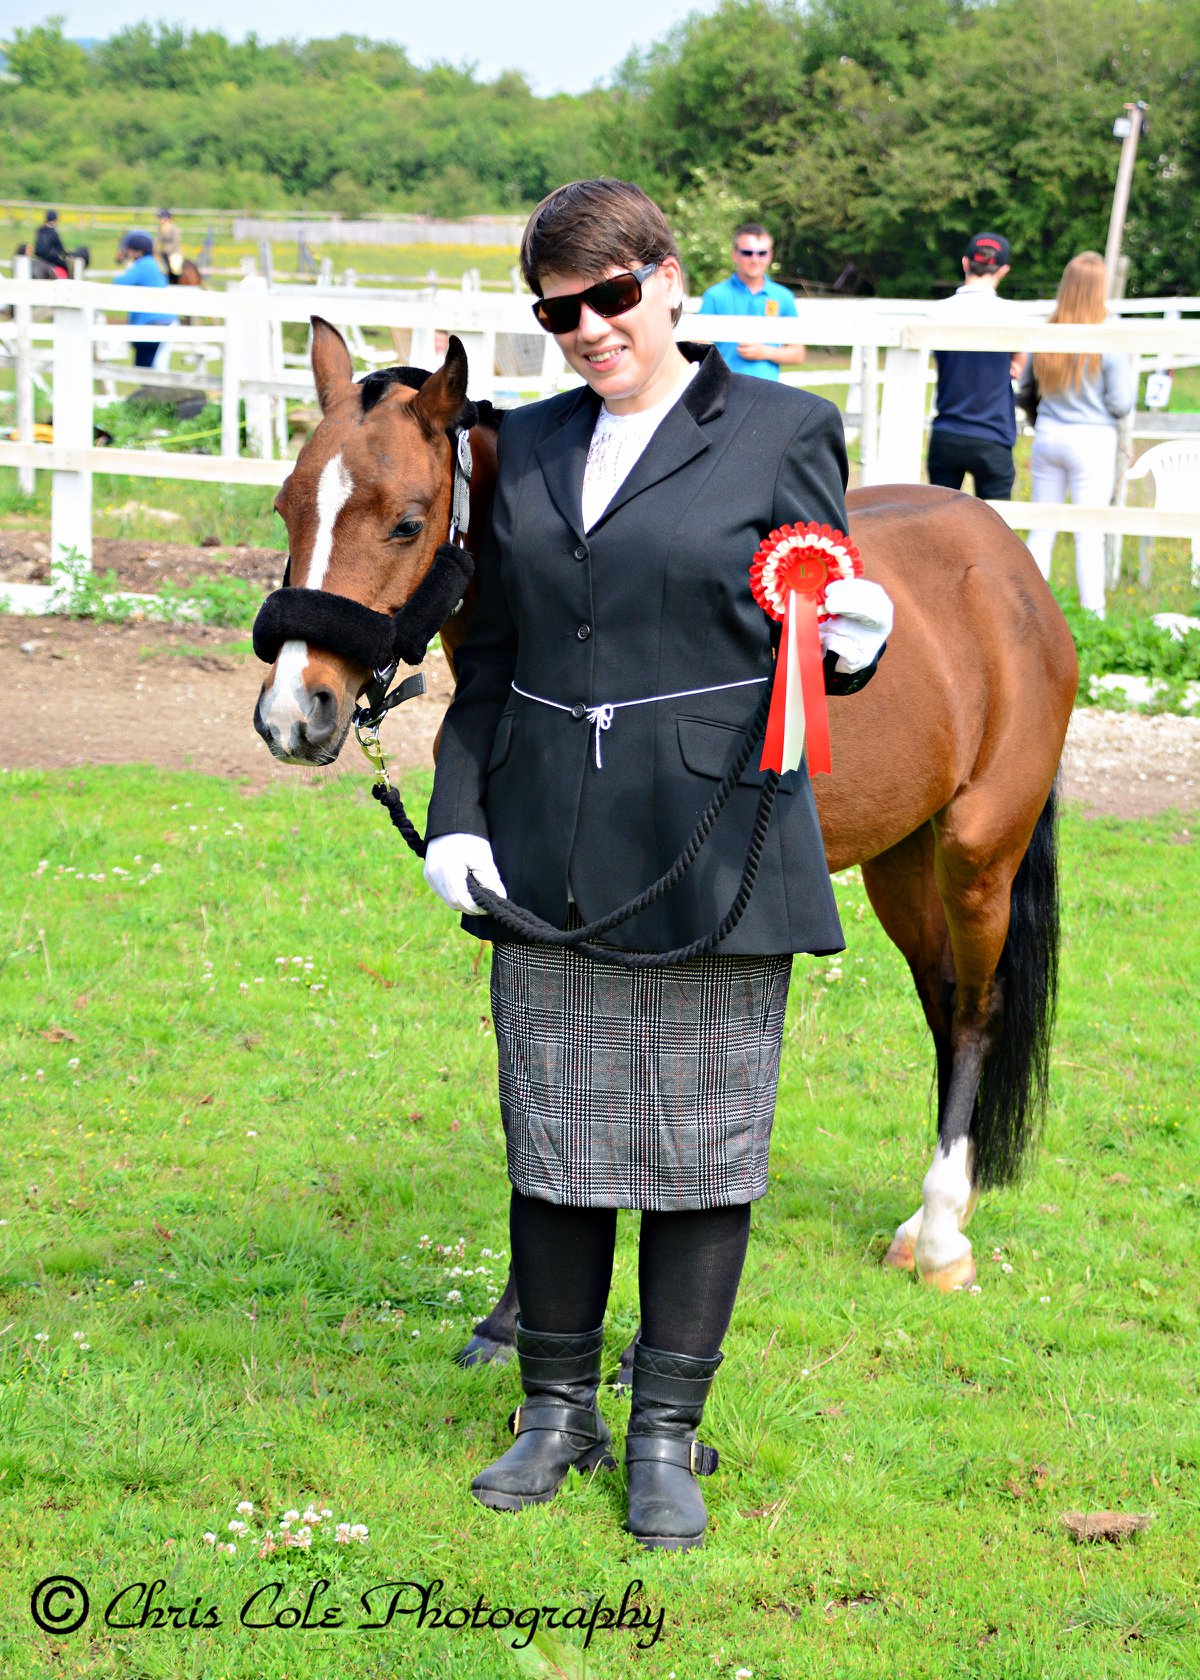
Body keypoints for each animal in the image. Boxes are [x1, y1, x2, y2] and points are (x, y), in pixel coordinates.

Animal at [255, 318, 1078, 1367]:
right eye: (288, 508)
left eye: (404, 520)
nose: (293, 713)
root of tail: (1007, 562)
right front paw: (515, 1319)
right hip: (903, 863)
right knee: (942, 1005)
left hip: (977, 855)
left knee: (976, 1012)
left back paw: (939, 1238)